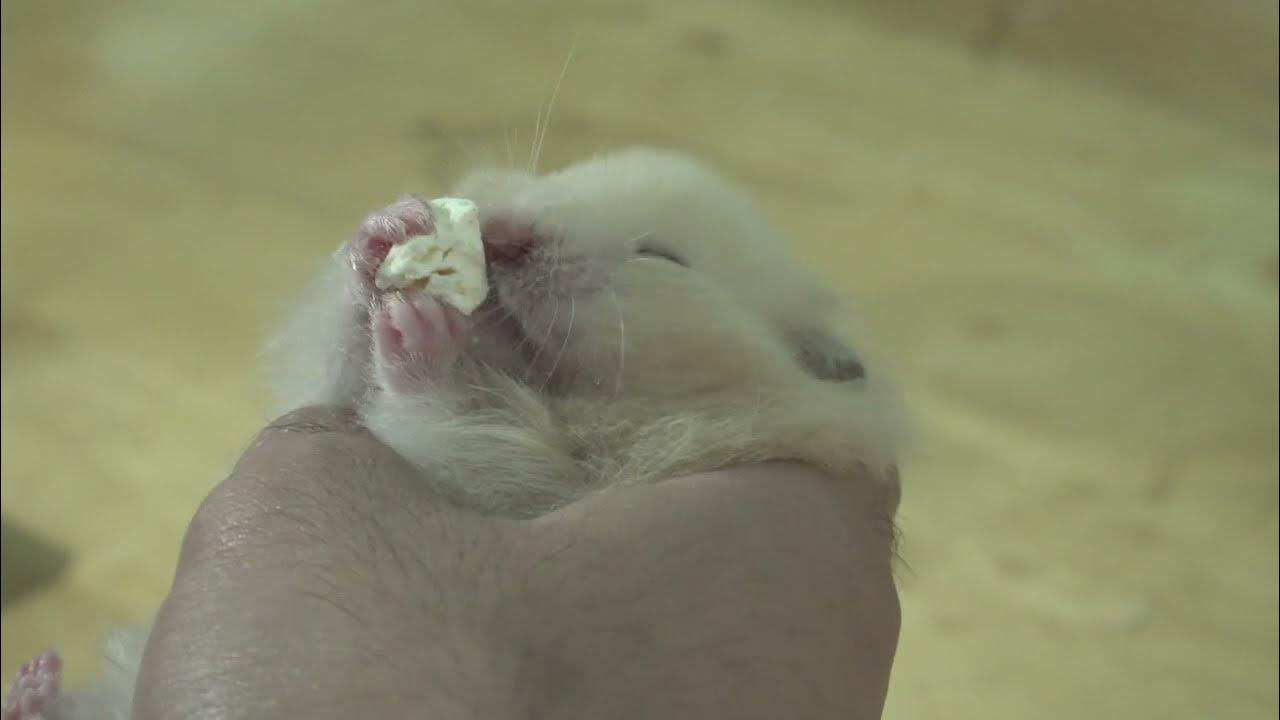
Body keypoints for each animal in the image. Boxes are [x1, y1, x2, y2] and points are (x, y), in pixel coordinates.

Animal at [4, 147, 904, 720]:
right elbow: (337, 364)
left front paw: (421, 331)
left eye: (664, 256)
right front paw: (389, 231)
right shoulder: (327, 395)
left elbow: (445, 414)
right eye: (562, 177)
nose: (502, 234)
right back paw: (34, 681)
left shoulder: (529, 474)